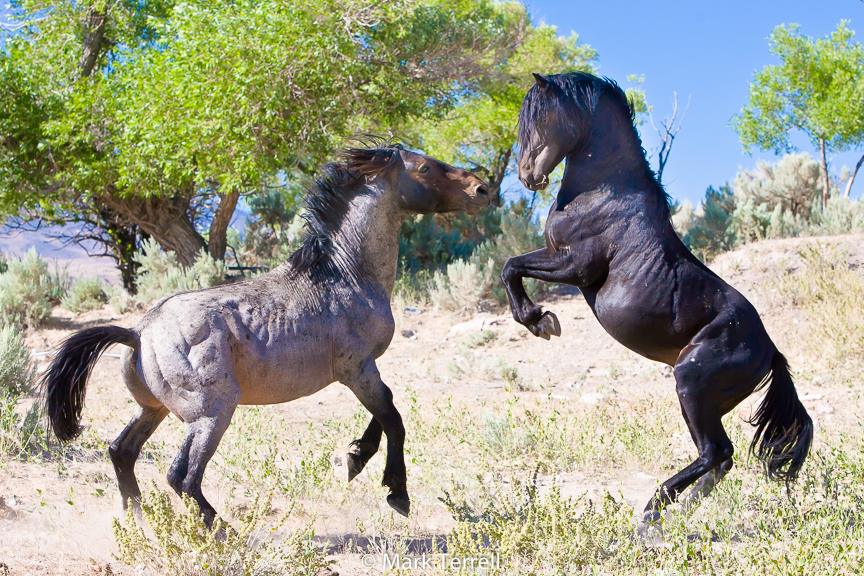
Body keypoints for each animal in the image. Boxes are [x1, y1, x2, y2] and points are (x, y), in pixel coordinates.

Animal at [42, 144, 494, 525]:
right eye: (424, 168)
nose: (482, 188)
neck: (344, 274)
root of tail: (138, 333)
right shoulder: (357, 370)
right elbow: (393, 419)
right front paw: (396, 493)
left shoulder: (365, 370)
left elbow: (384, 414)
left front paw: (354, 459)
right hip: (212, 413)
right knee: (182, 476)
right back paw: (224, 531)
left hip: (154, 409)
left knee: (123, 452)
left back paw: (140, 523)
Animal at [502, 72, 813, 526]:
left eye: (542, 118)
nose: (528, 176)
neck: (605, 190)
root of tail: (770, 352)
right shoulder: (556, 256)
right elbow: (510, 266)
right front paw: (540, 320)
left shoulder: (576, 267)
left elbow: (511, 267)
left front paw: (540, 320)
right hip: (706, 402)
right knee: (721, 458)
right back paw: (681, 508)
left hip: (691, 385)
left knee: (715, 452)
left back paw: (653, 510)